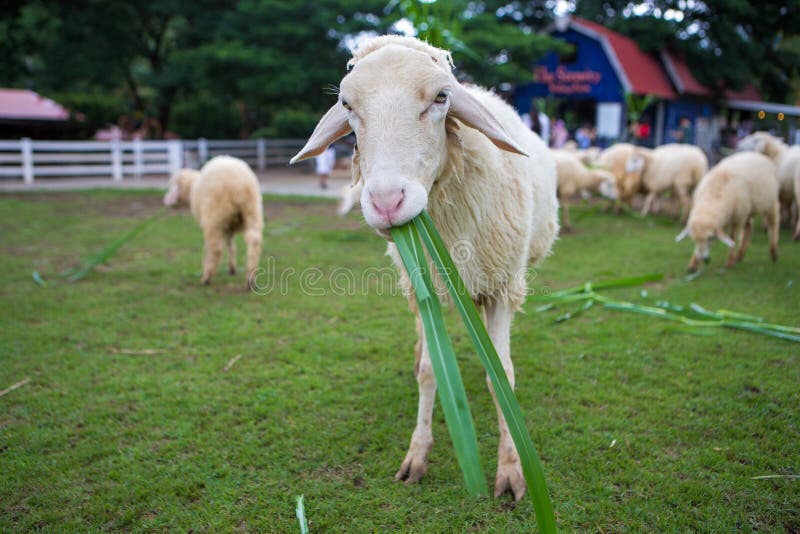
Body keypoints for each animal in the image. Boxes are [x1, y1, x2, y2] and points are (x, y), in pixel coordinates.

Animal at [163, 155, 264, 287]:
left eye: (172, 186)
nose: (165, 200)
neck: (192, 189)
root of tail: (239, 185)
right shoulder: (228, 227)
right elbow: (231, 244)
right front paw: (232, 268)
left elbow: (213, 246)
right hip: (252, 212)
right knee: (254, 241)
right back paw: (250, 279)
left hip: (214, 216)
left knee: (216, 248)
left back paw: (206, 277)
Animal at [290, 35, 558, 501]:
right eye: (347, 104)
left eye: (441, 97)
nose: (386, 202)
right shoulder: (425, 285)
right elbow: (431, 372)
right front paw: (417, 454)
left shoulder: (502, 286)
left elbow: (502, 375)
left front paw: (511, 468)